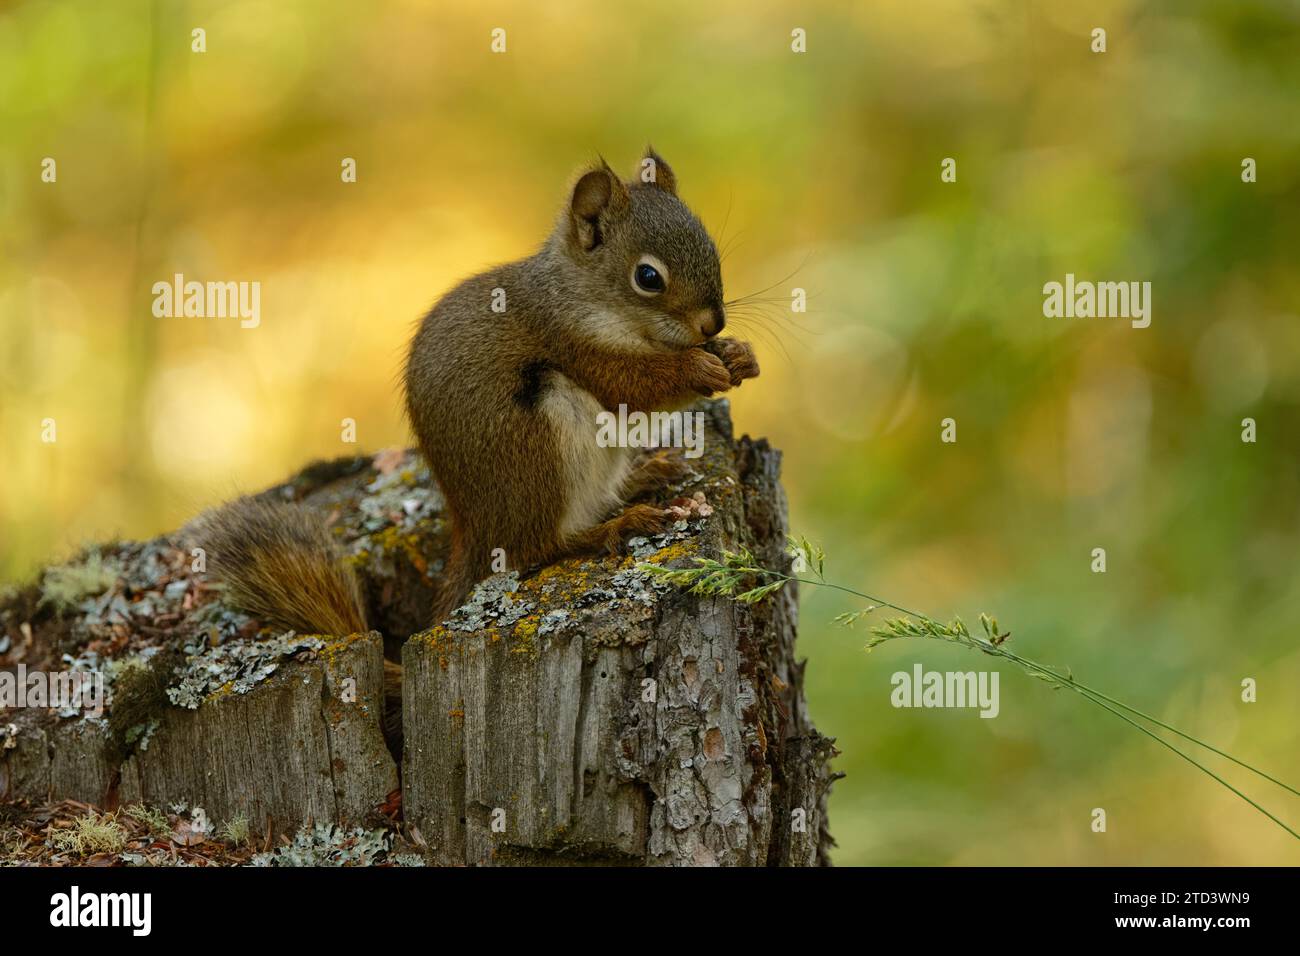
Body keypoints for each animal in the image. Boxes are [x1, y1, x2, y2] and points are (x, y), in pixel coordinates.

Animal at [193, 149, 759, 746]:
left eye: (710, 245)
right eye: (648, 277)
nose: (713, 323)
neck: (583, 298)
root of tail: (477, 528)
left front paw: (740, 356)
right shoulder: (572, 345)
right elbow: (634, 386)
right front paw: (698, 367)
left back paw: (643, 478)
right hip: (539, 446)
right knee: (536, 546)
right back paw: (612, 527)